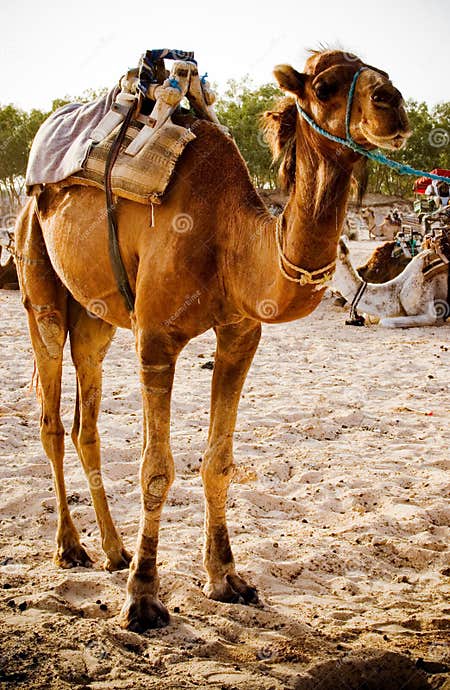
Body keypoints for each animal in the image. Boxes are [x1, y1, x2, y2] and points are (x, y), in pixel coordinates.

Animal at [15, 49, 410, 632]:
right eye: (325, 86)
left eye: (379, 74)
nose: (393, 103)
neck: (229, 237)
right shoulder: (156, 339)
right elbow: (156, 470)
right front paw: (143, 599)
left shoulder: (240, 335)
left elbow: (219, 461)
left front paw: (226, 578)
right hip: (39, 285)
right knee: (50, 420)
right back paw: (70, 548)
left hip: (94, 318)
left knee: (87, 424)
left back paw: (113, 550)